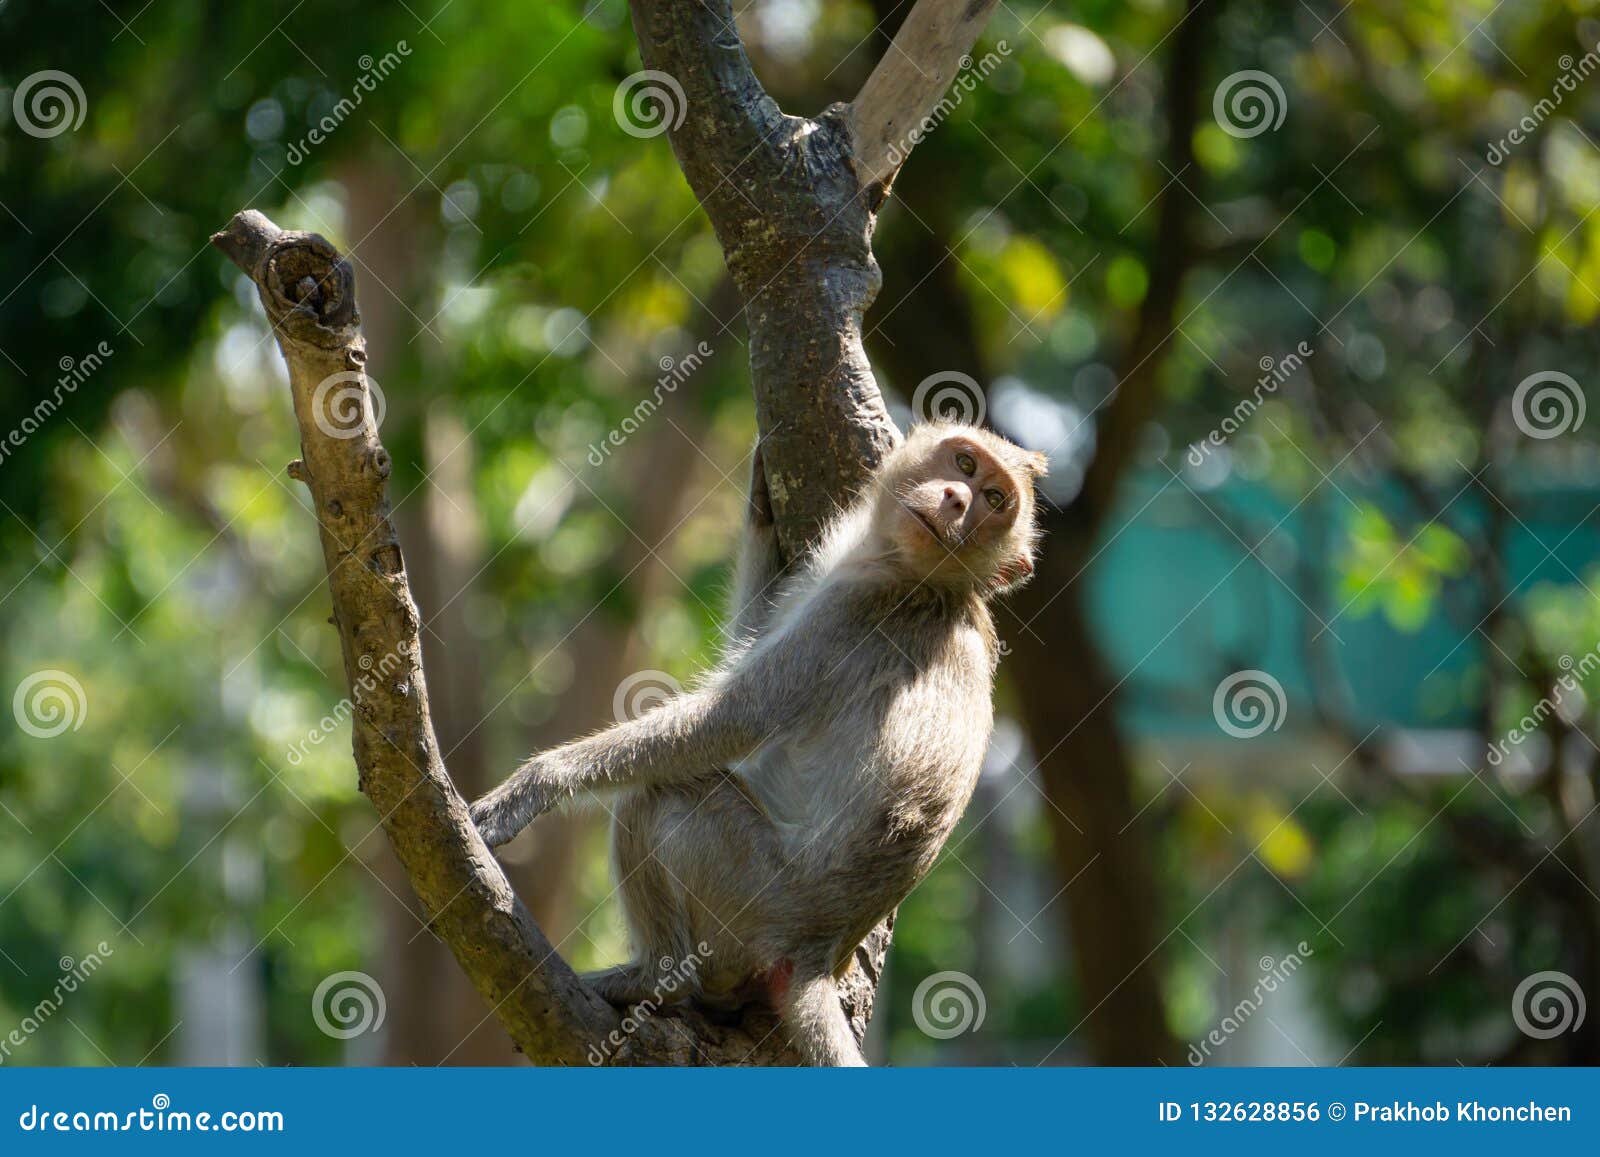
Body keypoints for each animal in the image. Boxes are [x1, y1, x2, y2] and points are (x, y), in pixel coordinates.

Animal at [470, 422, 1048, 1065]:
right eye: (966, 464)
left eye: (995, 501)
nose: (957, 500)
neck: (923, 576)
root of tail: (816, 956)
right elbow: (752, 637)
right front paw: (761, 509)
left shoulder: (855, 613)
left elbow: (735, 717)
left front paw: (538, 783)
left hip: (751, 893)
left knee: (659, 797)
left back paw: (655, 980)